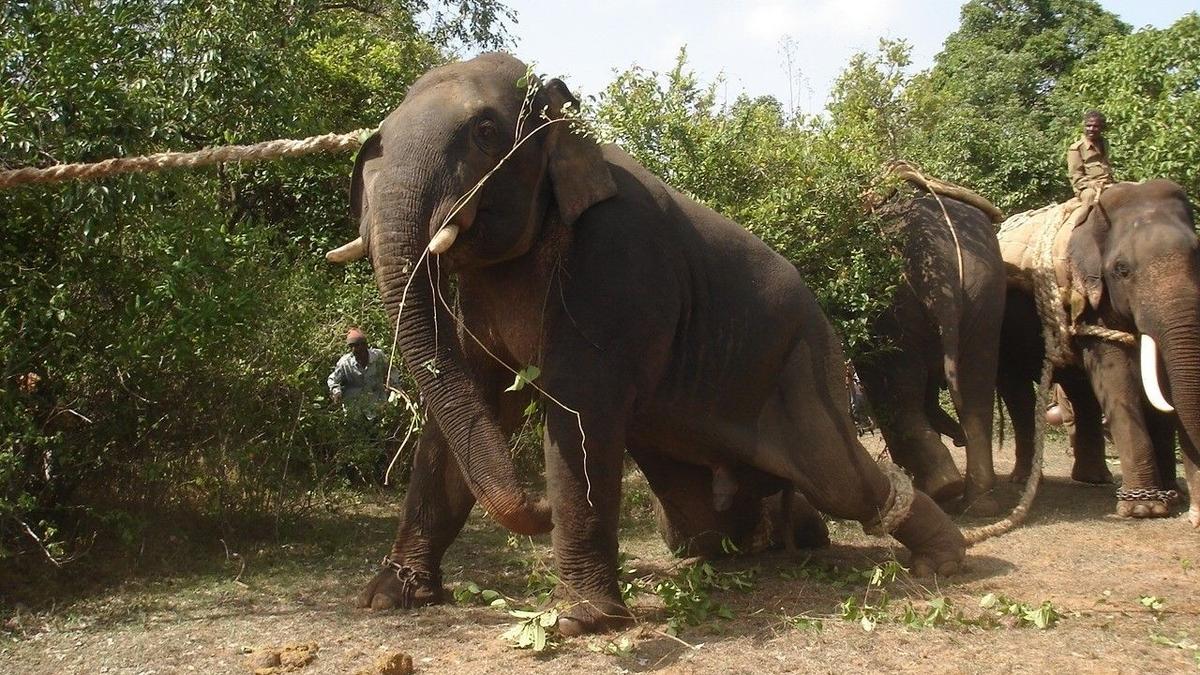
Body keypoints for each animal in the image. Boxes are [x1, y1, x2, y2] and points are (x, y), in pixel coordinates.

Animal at [329, 53, 966, 636]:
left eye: (485, 132)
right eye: (379, 140)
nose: (539, 507)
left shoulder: (618, 261)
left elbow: (581, 412)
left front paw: (580, 621)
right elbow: (468, 410)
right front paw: (388, 597)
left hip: (803, 363)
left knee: (836, 476)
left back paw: (944, 560)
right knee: (702, 523)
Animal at [852, 193, 1006, 514]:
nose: (957, 440)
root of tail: (940, 255)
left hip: (896, 309)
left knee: (899, 387)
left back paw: (943, 488)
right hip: (985, 296)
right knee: (975, 391)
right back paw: (977, 503)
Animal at [996, 180, 1200, 527]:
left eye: (1198, 256)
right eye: (1122, 270)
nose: (1196, 515)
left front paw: (1172, 497)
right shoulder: (1093, 300)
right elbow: (1118, 378)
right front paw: (1144, 509)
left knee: (1079, 391)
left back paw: (1093, 479)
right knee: (1020, 394)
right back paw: (1024, 479)